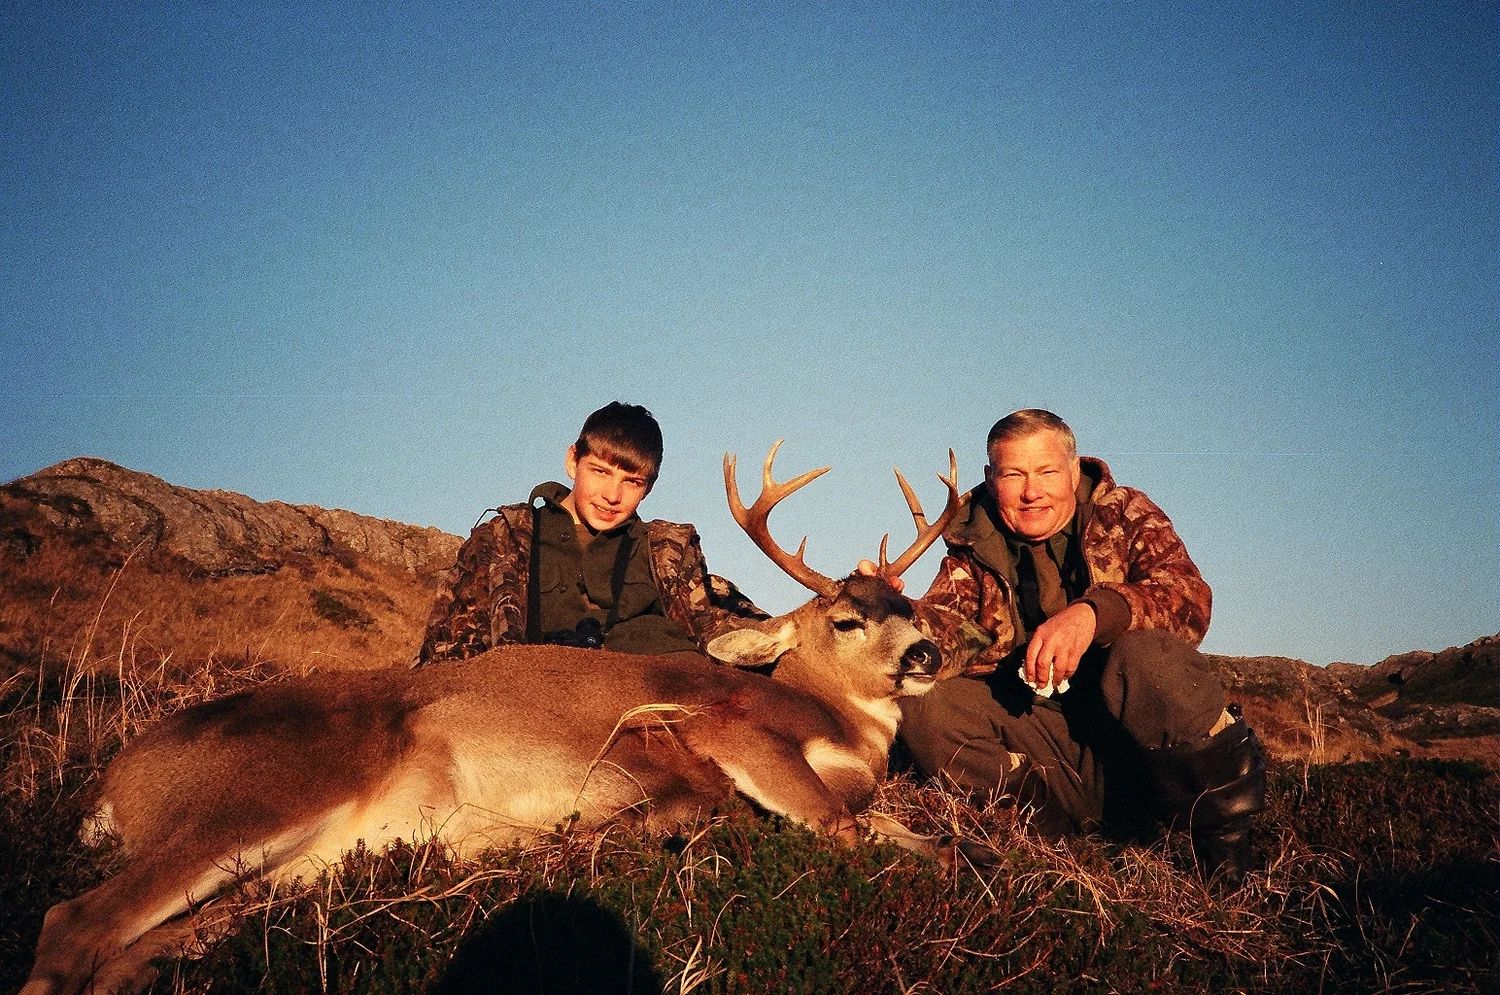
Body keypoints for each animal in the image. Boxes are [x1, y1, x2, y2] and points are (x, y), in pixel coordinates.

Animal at [22, 443, 963, 995]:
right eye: (846, 618)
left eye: (912, 604)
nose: (927, 652)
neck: (834, 716)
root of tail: (114, 778)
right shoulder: (722, 728)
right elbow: (843, 824)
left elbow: (911, 834)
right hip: (259, 797)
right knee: (72, 923)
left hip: (293, 865)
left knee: (137, 947)